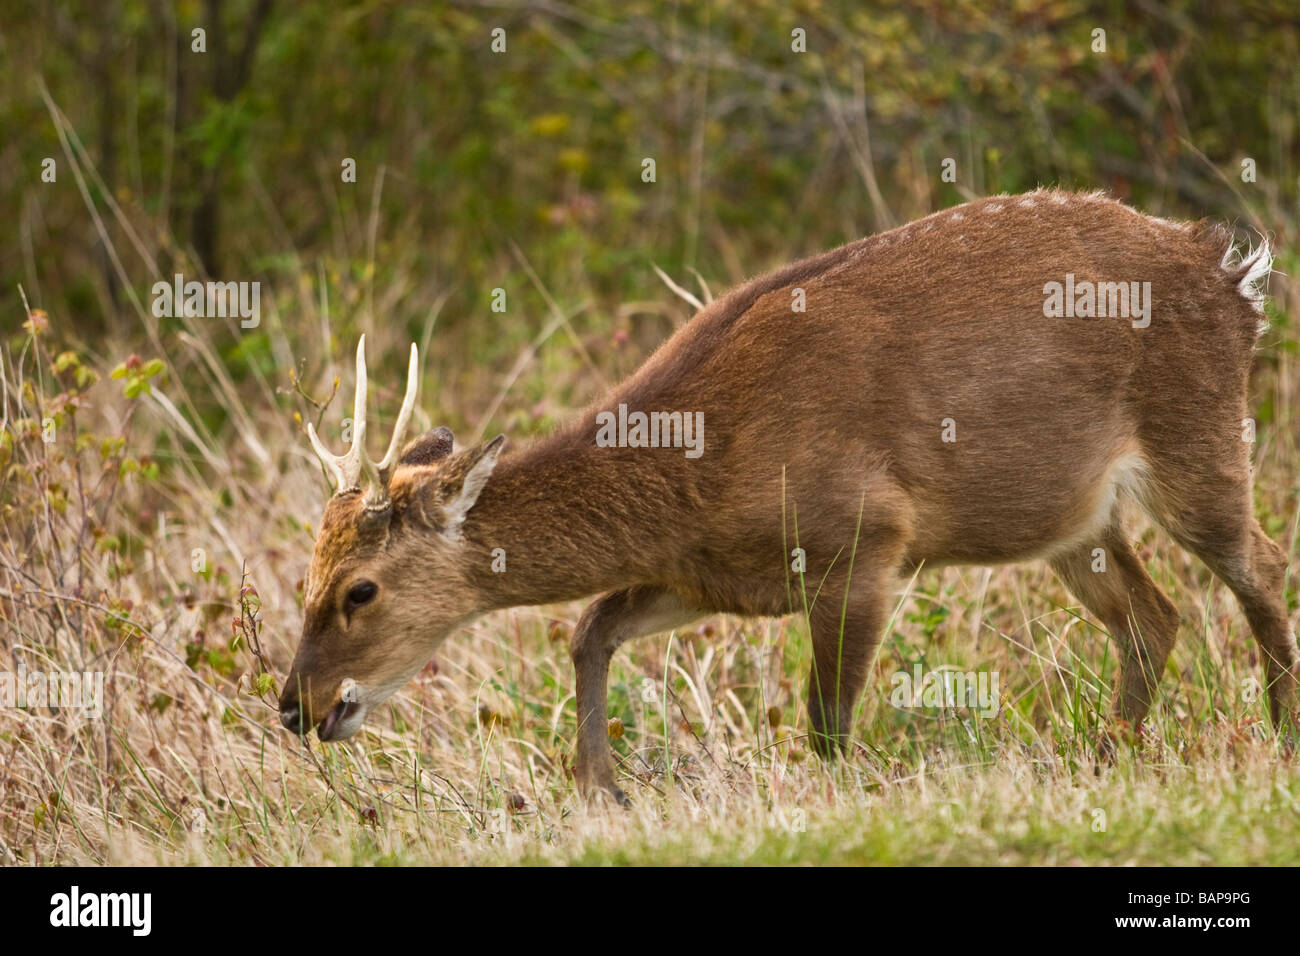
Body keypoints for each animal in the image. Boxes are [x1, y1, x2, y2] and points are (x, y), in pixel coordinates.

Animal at [279, 188, 1298, 805]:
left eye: (360, 589)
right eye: (306, 578)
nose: (294, 705)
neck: (698, 473)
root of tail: (1231, 272)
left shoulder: (868, 541)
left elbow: (827, 726)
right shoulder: (708, 575)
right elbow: (592, 629)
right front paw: (602, 785)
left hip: (1198, 435)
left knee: (1260, 565)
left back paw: (1280, 735)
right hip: (1071, 518)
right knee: (1154, 616)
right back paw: (1104, 757)